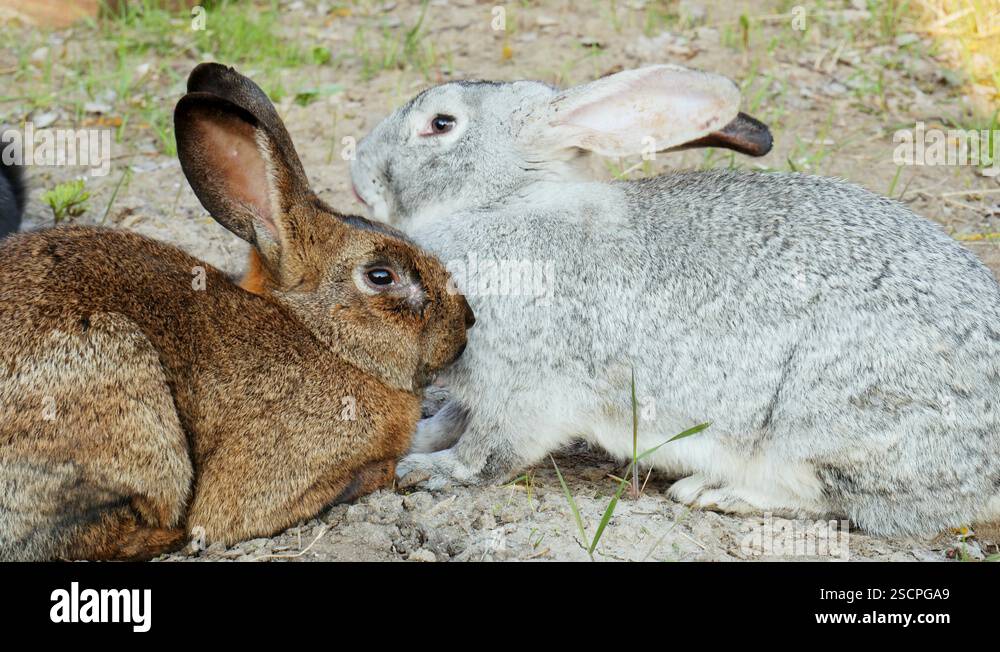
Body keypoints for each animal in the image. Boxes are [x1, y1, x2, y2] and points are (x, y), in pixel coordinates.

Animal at [349, 64, 1000, 537]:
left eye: (441, 123)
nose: (358, 171)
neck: (501, 203)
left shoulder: (526, 386)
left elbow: (487, 454)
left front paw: (425, 472)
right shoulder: (478, 386)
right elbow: (449, 420)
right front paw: (413, 443)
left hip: (832, 427)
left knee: (850, 505)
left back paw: (715, 493)